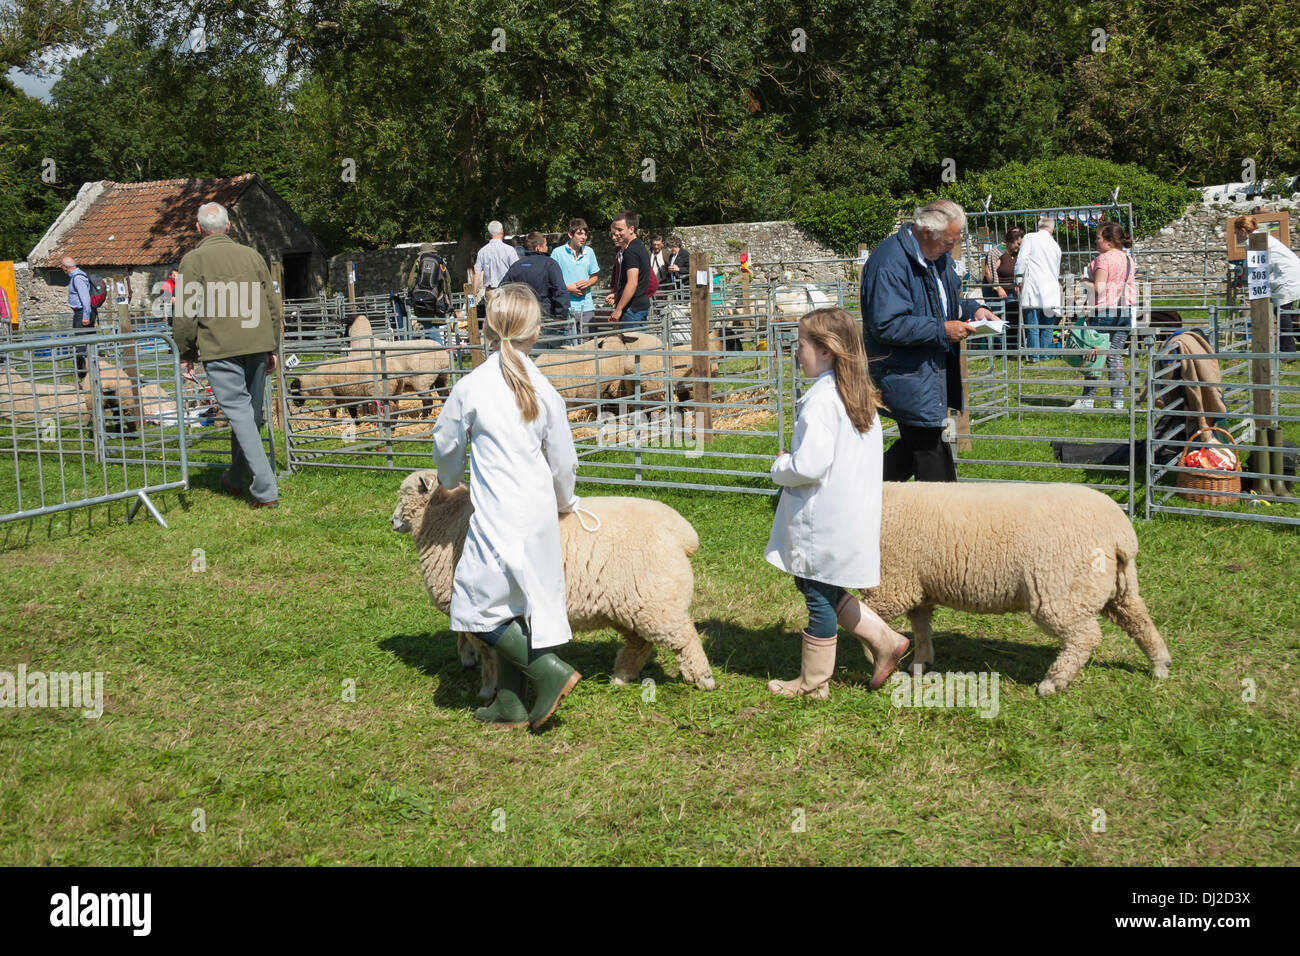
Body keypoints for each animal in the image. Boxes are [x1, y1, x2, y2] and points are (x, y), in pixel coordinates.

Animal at [391, 470, 716, 694]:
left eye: (403, 494)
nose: (392, 521)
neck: (447, 522)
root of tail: (682, 533)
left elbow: (486, 651)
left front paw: (487, 688)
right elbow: (465, 636)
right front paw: (467, 658)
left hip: (657, 602)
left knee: (685, 638)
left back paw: (704, 679)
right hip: (629, 605)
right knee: (640, 643)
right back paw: (621, 677)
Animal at [859, 482, 1171, 696]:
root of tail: (1121, 534)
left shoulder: (893, 585)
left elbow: (869, 619)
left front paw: (877, 658)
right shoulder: (917, 587)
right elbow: (921, 627)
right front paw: (920, 662)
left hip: (1061, 591)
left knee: (1085, 637)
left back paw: (1053, 683)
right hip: (1118, 586)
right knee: (1138, 619)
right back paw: (1160, 664)